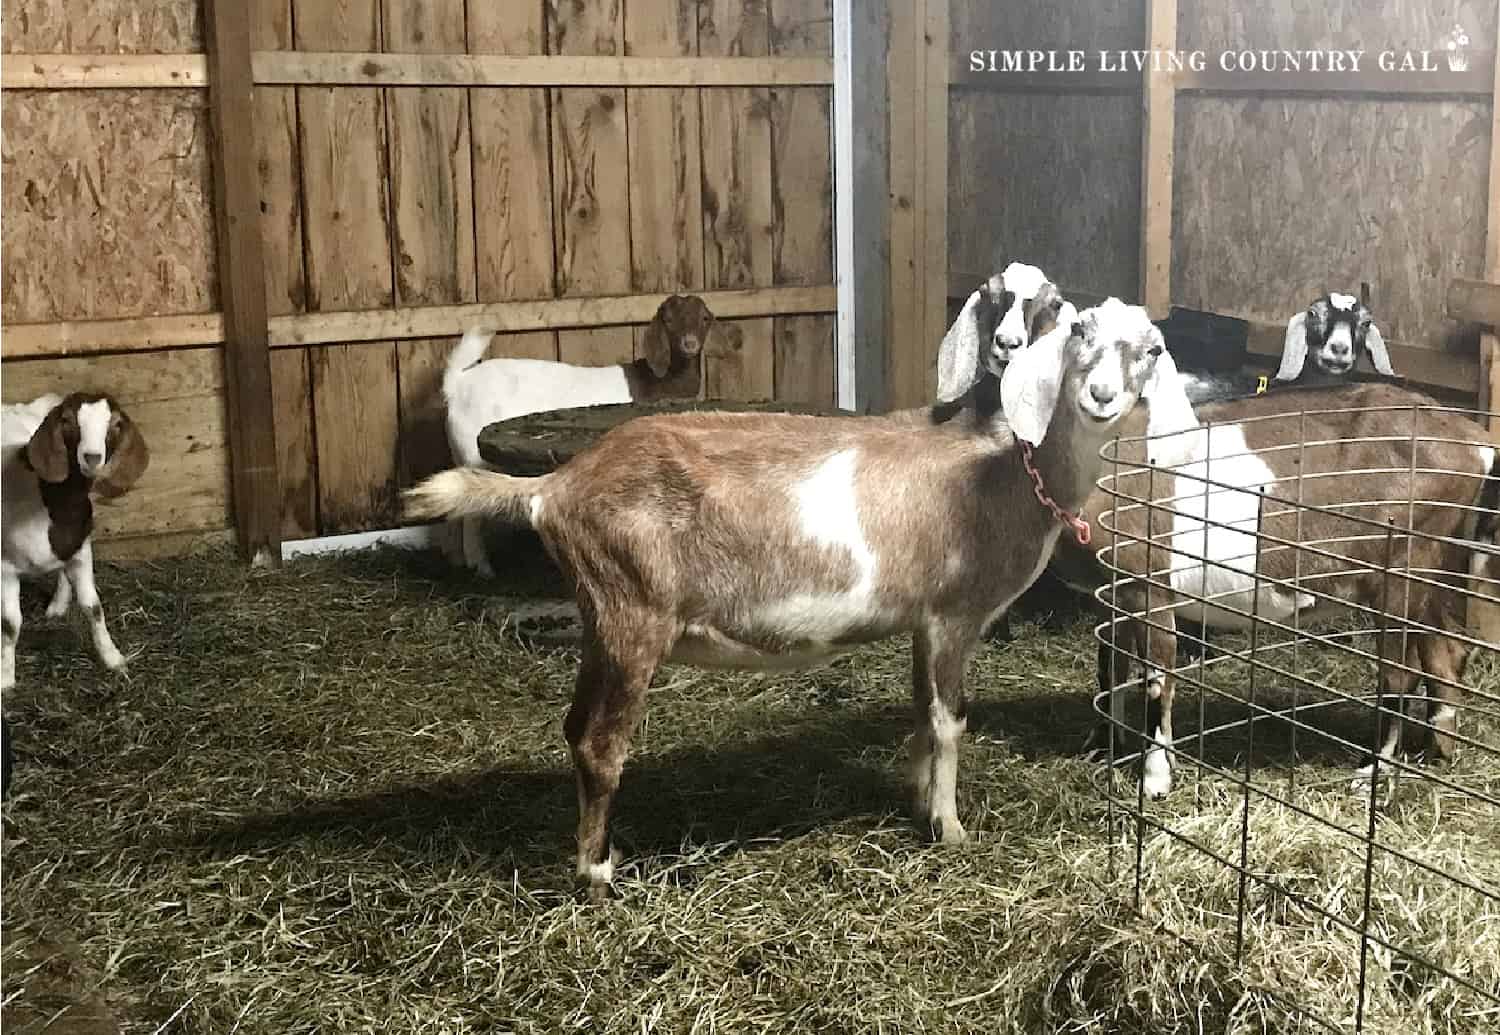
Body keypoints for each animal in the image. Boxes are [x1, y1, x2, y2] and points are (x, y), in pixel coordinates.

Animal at [2, 393, 150, 695]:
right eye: (67, 421)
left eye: (116, 424)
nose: (92, 457)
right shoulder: (5, 568)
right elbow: (10, 626)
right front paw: (5, 678)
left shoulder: (81, 551)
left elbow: (93, 608)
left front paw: (113, 658)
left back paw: (58, 605)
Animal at [442, 294, 715, 575]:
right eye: (668, 320)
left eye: (705, 318)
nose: (689, 344)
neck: (658, 381)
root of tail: (457, 383)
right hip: (472, 451)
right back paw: (481, 567)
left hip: (459, 450)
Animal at [1047, 383, 1498, 797]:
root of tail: (1477, 442)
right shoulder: (1112, 594)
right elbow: (1110, 668)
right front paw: (1102, 746)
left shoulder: (1150, 586)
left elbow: (1157, 681)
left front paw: (1155, 780)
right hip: (1434, 565)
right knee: (1446, 653)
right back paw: (1436, 750)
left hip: (1401, 565)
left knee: (1402, 671)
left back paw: (1372, 771)